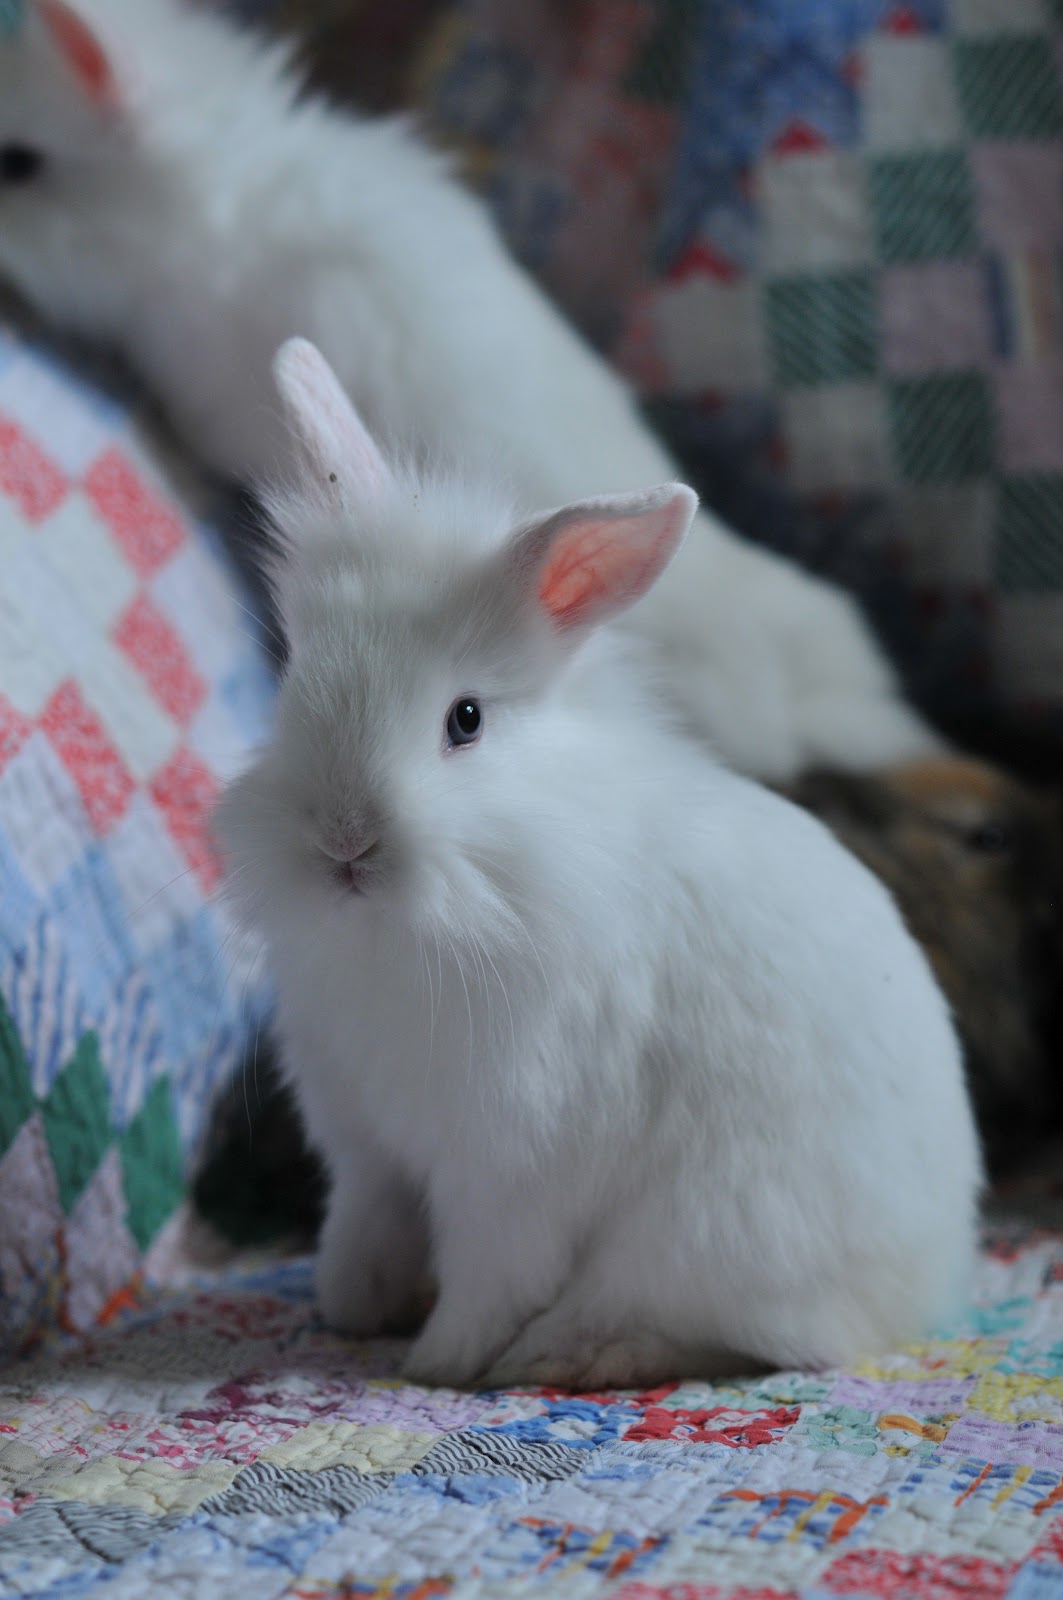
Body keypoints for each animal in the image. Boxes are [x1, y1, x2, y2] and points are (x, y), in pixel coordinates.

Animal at [214, 337, 981, 1389]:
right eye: (294, 684)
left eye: (465, 720)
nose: (342, 842)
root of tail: (925, 1277)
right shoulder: (366, 1144)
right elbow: (365, 1229)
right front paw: (350, 1310)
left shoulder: (510, 1170)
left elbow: (489, 1276)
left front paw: (435, 1366)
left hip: (708, 1233)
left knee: (735, 1330)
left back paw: (570, 1351)